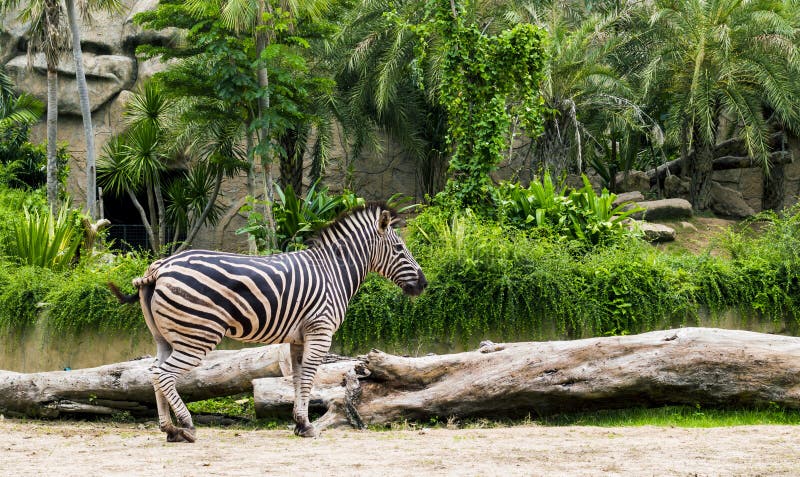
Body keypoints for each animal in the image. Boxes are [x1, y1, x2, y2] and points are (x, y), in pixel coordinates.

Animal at [109, 203, 427, 442]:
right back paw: (186, 426)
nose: (423, 284)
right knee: (164, 374)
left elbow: (297, 378)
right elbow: (309, 377)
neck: (333, 271)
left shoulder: (299, 338)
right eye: (400, 248)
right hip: (198, 335)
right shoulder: (320, 331)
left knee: (153, 372)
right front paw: (308, 426)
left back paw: (169, 430)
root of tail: (159, 267)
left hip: (164, 337)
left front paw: (300, 423)